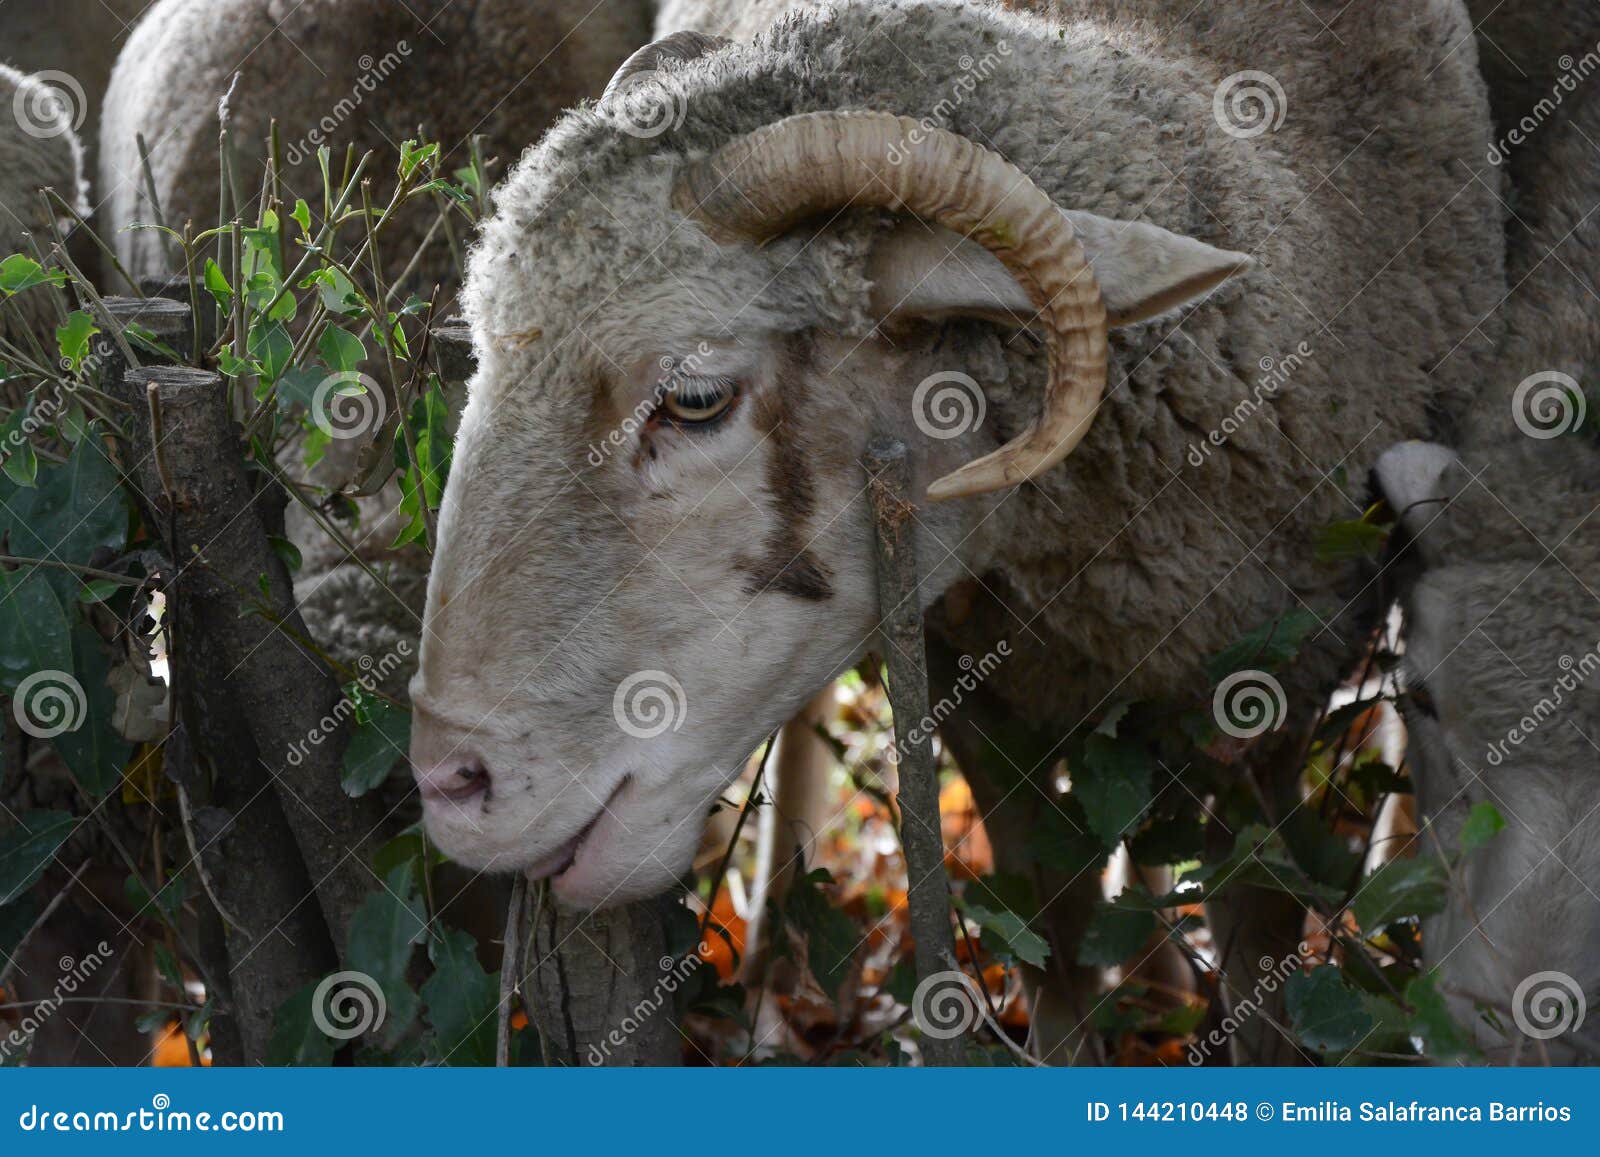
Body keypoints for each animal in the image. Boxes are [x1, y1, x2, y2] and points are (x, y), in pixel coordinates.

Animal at [407, 0, 1505, 1059]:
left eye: (694, 398)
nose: (448, 783)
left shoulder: (1278, 680)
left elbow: (1258, 936)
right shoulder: (978, 683)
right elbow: (1051, 921)